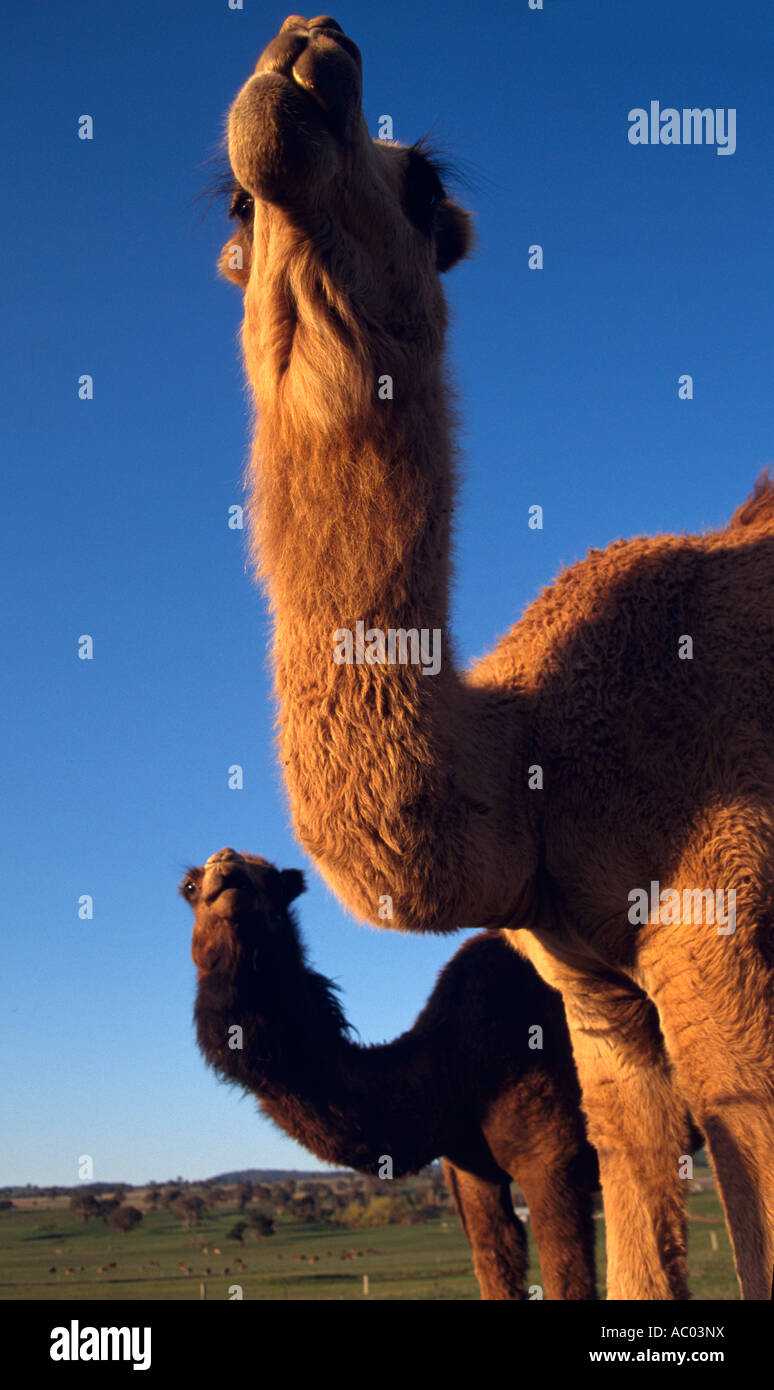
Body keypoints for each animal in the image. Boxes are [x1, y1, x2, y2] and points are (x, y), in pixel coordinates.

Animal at [184, 847, 599, 1300]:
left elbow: (567, 1278)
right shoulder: (469, 1172)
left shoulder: (553, 1158)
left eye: (276, 882)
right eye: (190, 886)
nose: (228, 872)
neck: (456, 1068)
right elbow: (495, 1265)